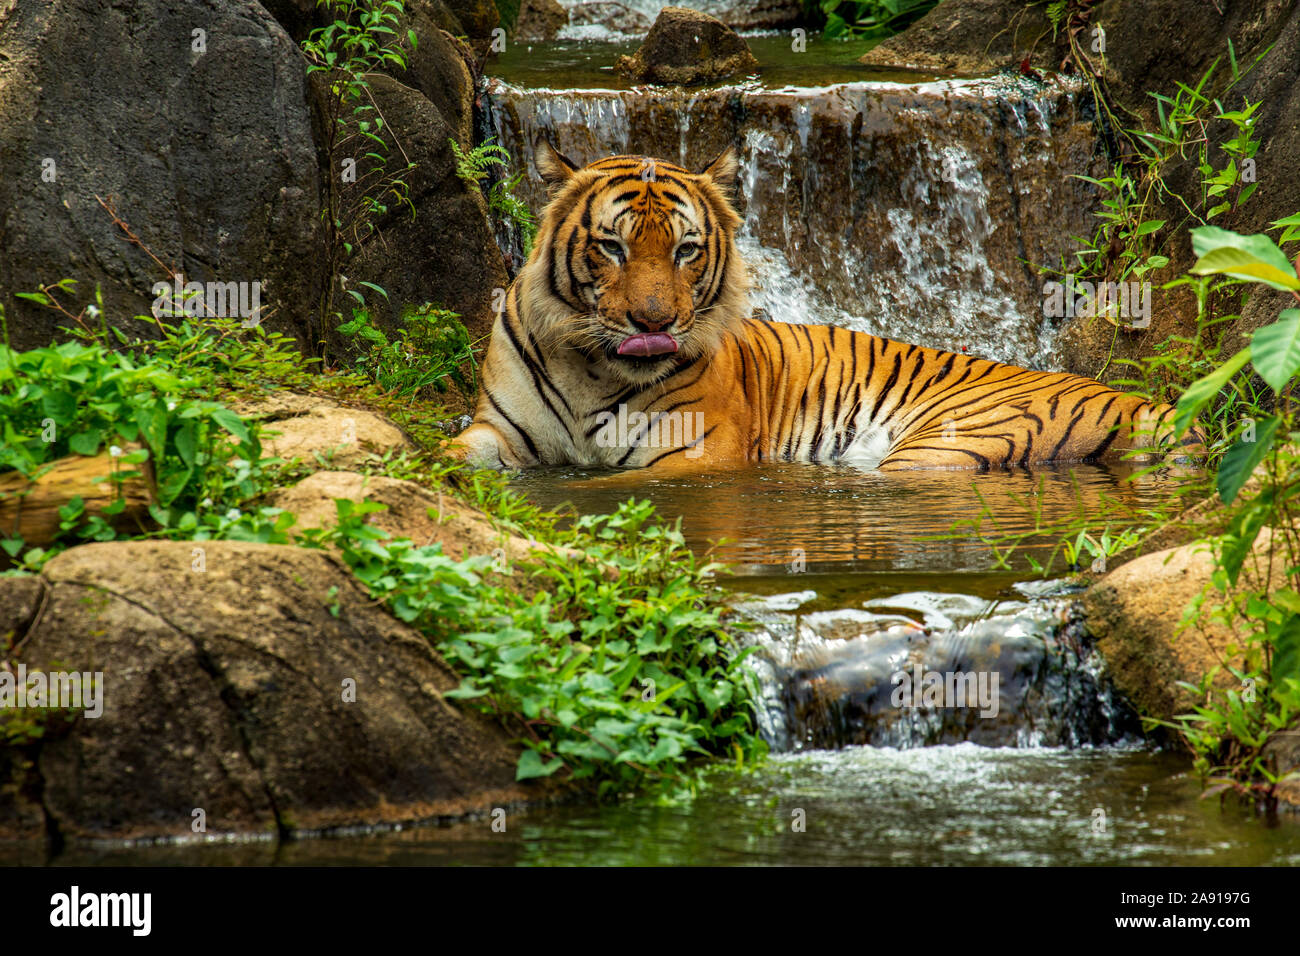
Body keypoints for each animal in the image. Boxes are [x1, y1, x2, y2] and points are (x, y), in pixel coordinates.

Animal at [451, 144, 1200, 473]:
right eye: (612, 246)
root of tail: (1130, 395)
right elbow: (451, 455)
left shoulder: (697, 450)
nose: (654, 324)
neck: (591, 371)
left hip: (946, 444)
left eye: (687, 250)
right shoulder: (498, 431)